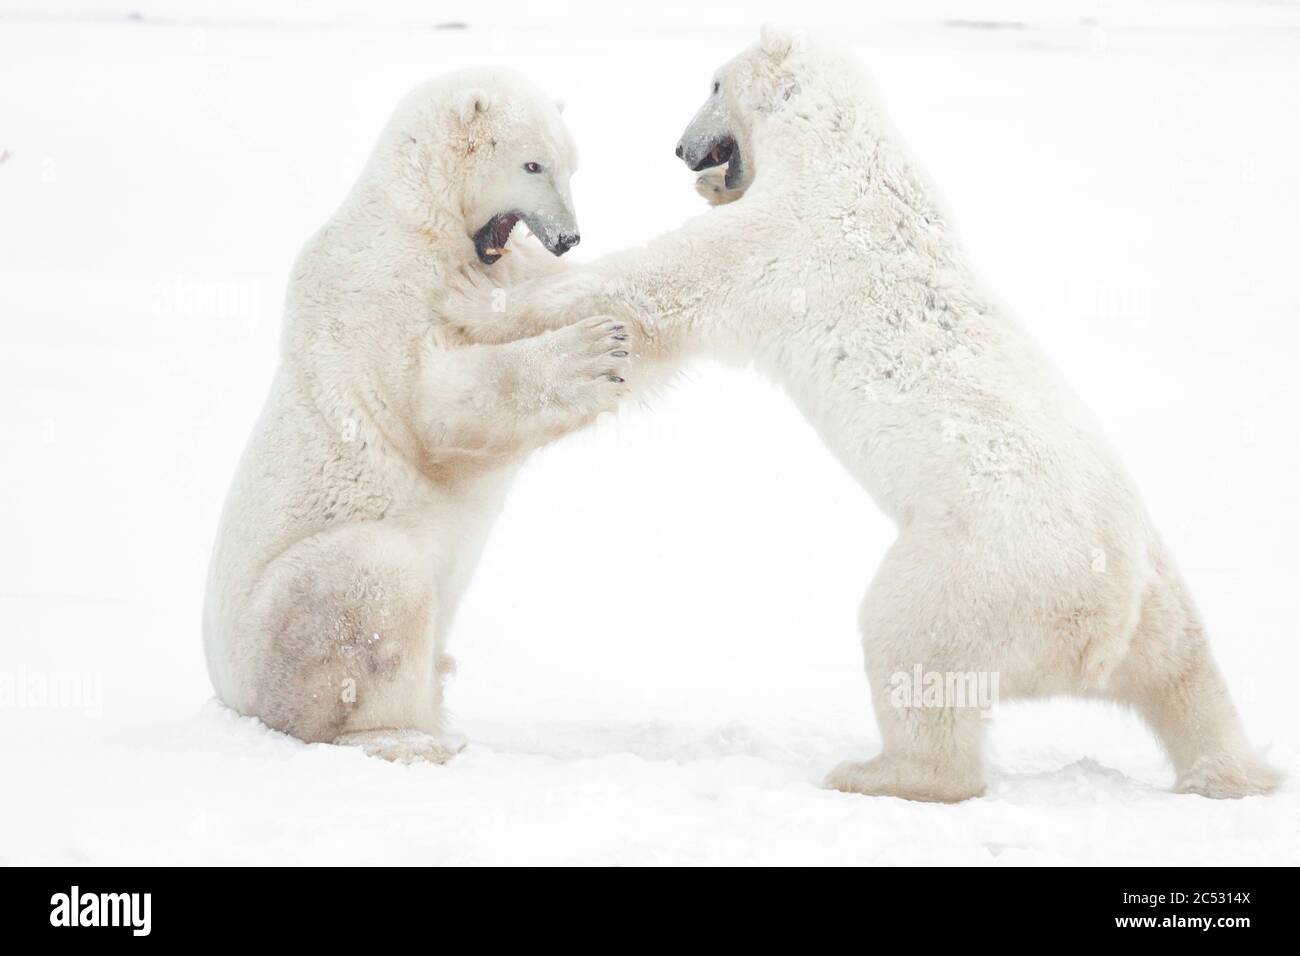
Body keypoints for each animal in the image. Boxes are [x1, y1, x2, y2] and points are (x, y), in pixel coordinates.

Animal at [202, 68, 631, 763]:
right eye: (532, 163)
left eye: (571, 164)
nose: (569, 237)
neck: (418, 217)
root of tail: (228, 696)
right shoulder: (381, 288)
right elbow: (429, 406)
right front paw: (595, 353)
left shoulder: (500, 265)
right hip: (285, 625)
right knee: (372, 584)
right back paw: (405, 737)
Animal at [445, 28, 1281, 800]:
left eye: (712, 83)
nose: (681, 151)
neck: (843, 148)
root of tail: (1099, 625)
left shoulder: (785, 241)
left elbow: (655, 287)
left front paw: (484, 298)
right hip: (1154, 588)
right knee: (1185, 674)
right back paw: (1235, 770)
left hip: (984, 565)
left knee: (912, 641)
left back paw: (879, 771)